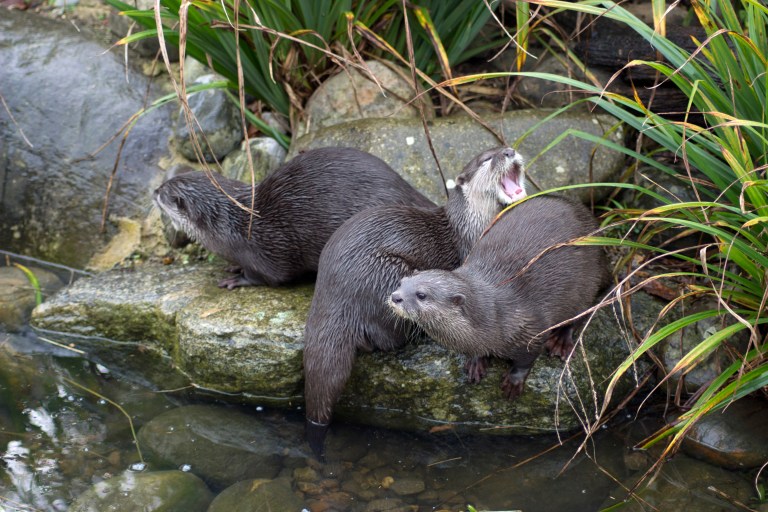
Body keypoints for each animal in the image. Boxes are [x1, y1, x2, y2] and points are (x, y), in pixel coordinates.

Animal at [153, 147, 434, 289]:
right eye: (168, 182)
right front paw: (232, 267)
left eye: (166, 194)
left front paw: (237, 279)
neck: (234, 226)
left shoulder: (266, 253)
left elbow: (271, 277)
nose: (154, 191)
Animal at [303, 147, 526, 460]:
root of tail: (333, 291)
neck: (472, 228)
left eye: (504, 149)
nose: (508, 151)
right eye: (487, 159)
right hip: (387, 273)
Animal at [389, 195, 609, 399]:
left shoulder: (531, 328)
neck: (495, 316)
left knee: (581, 315)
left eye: (421, 294)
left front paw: (513, 381)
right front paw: (476, 363)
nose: (395, 297)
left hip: (587, 284)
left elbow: (526, 359)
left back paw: (561, 340)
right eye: (401, 282)